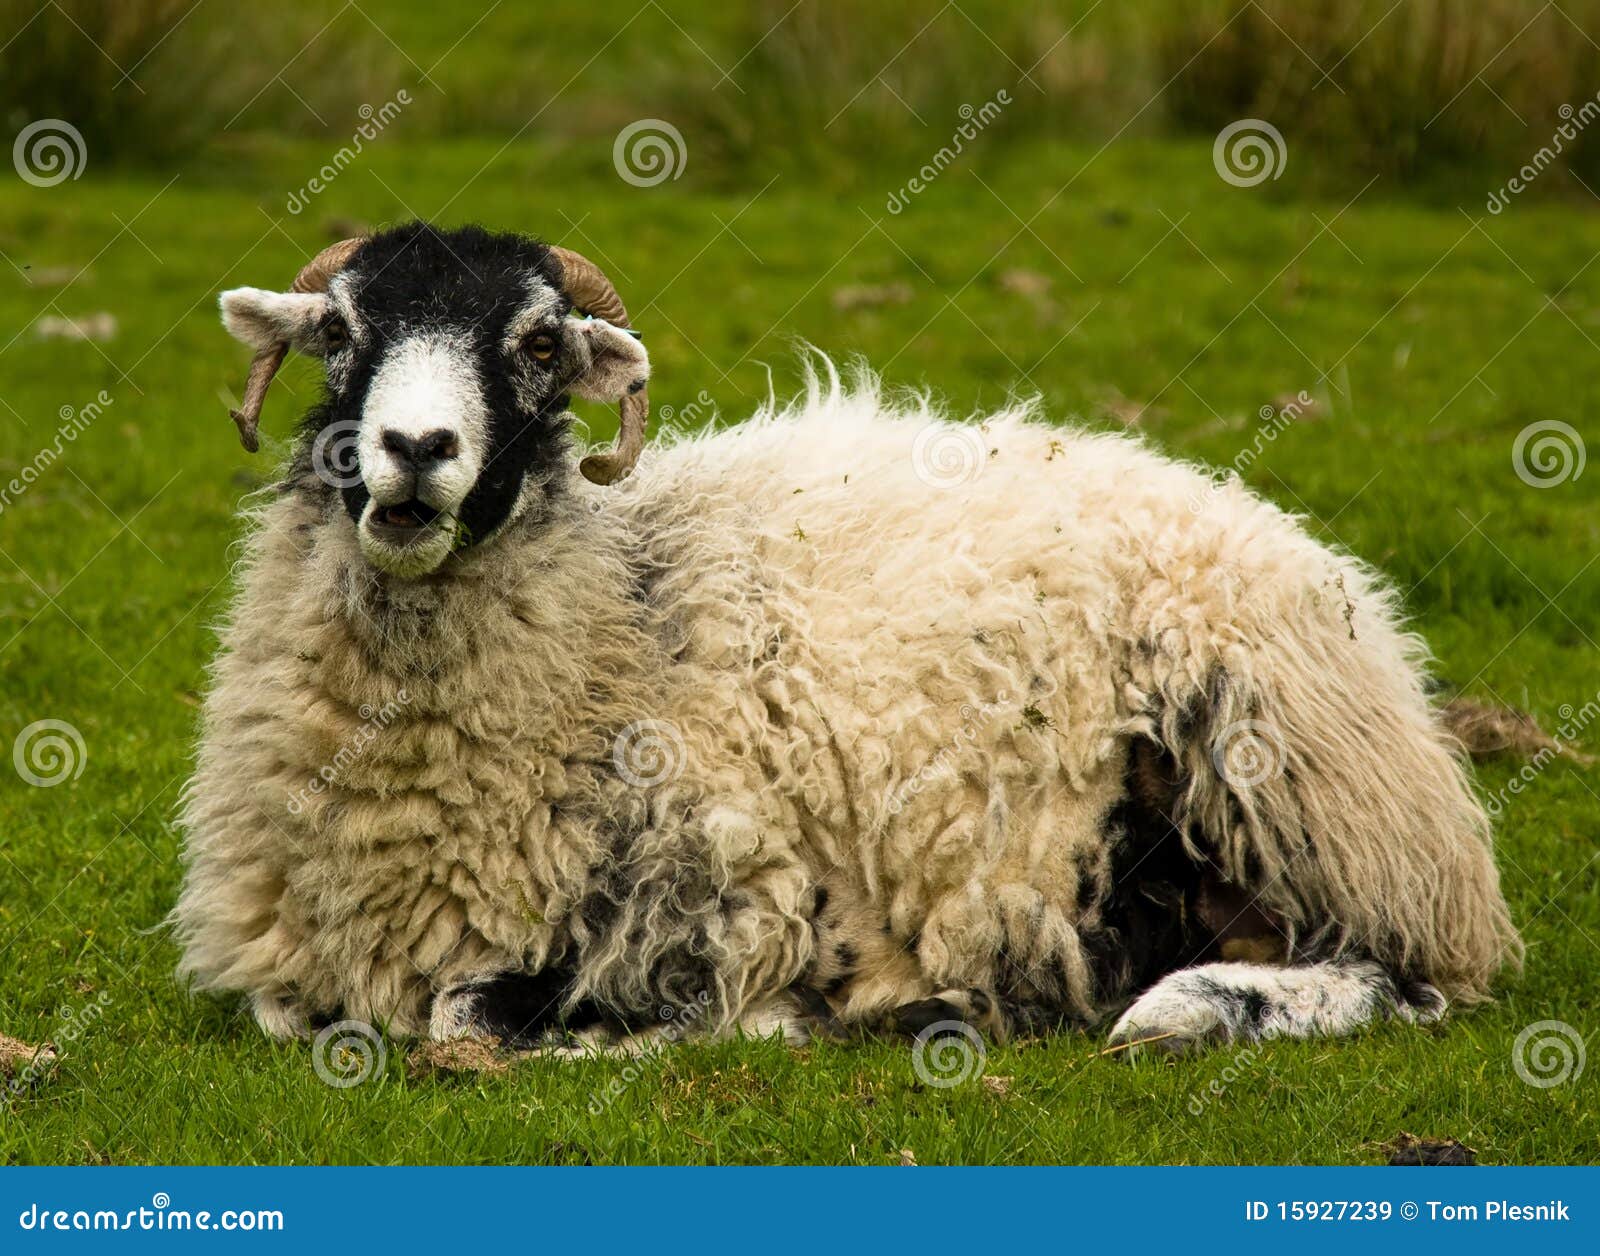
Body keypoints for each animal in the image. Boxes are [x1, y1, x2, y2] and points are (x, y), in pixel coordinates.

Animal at [174, 222, 1521, 1056]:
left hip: (1287, 770)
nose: (413, 450)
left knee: (1401, 975)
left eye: (539, 344)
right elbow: (295, 1015)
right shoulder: (291, 952)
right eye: (339, 330)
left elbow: (471, 1013)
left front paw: (741, 1025)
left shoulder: (720, 895)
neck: (622, 609)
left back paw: (1184, 1007)